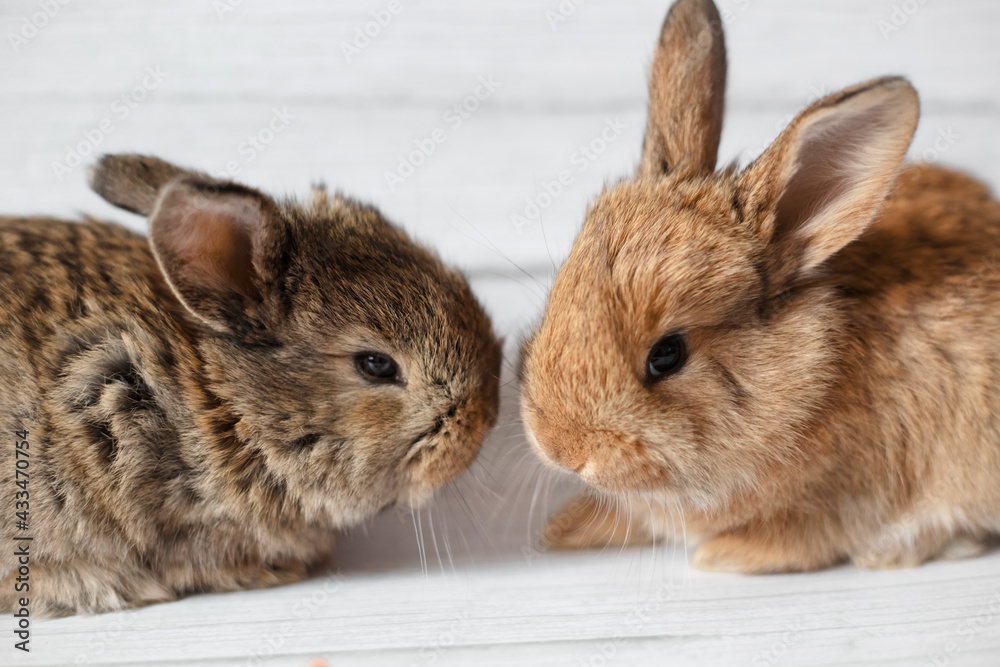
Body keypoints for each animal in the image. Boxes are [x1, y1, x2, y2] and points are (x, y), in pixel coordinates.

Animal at [519, 0, 1000, 574]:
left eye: (667, 355)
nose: (560, 449)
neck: (807, 380)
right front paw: (565, 527)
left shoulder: (841, 502)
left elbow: (799, 538)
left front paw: (722, 554)